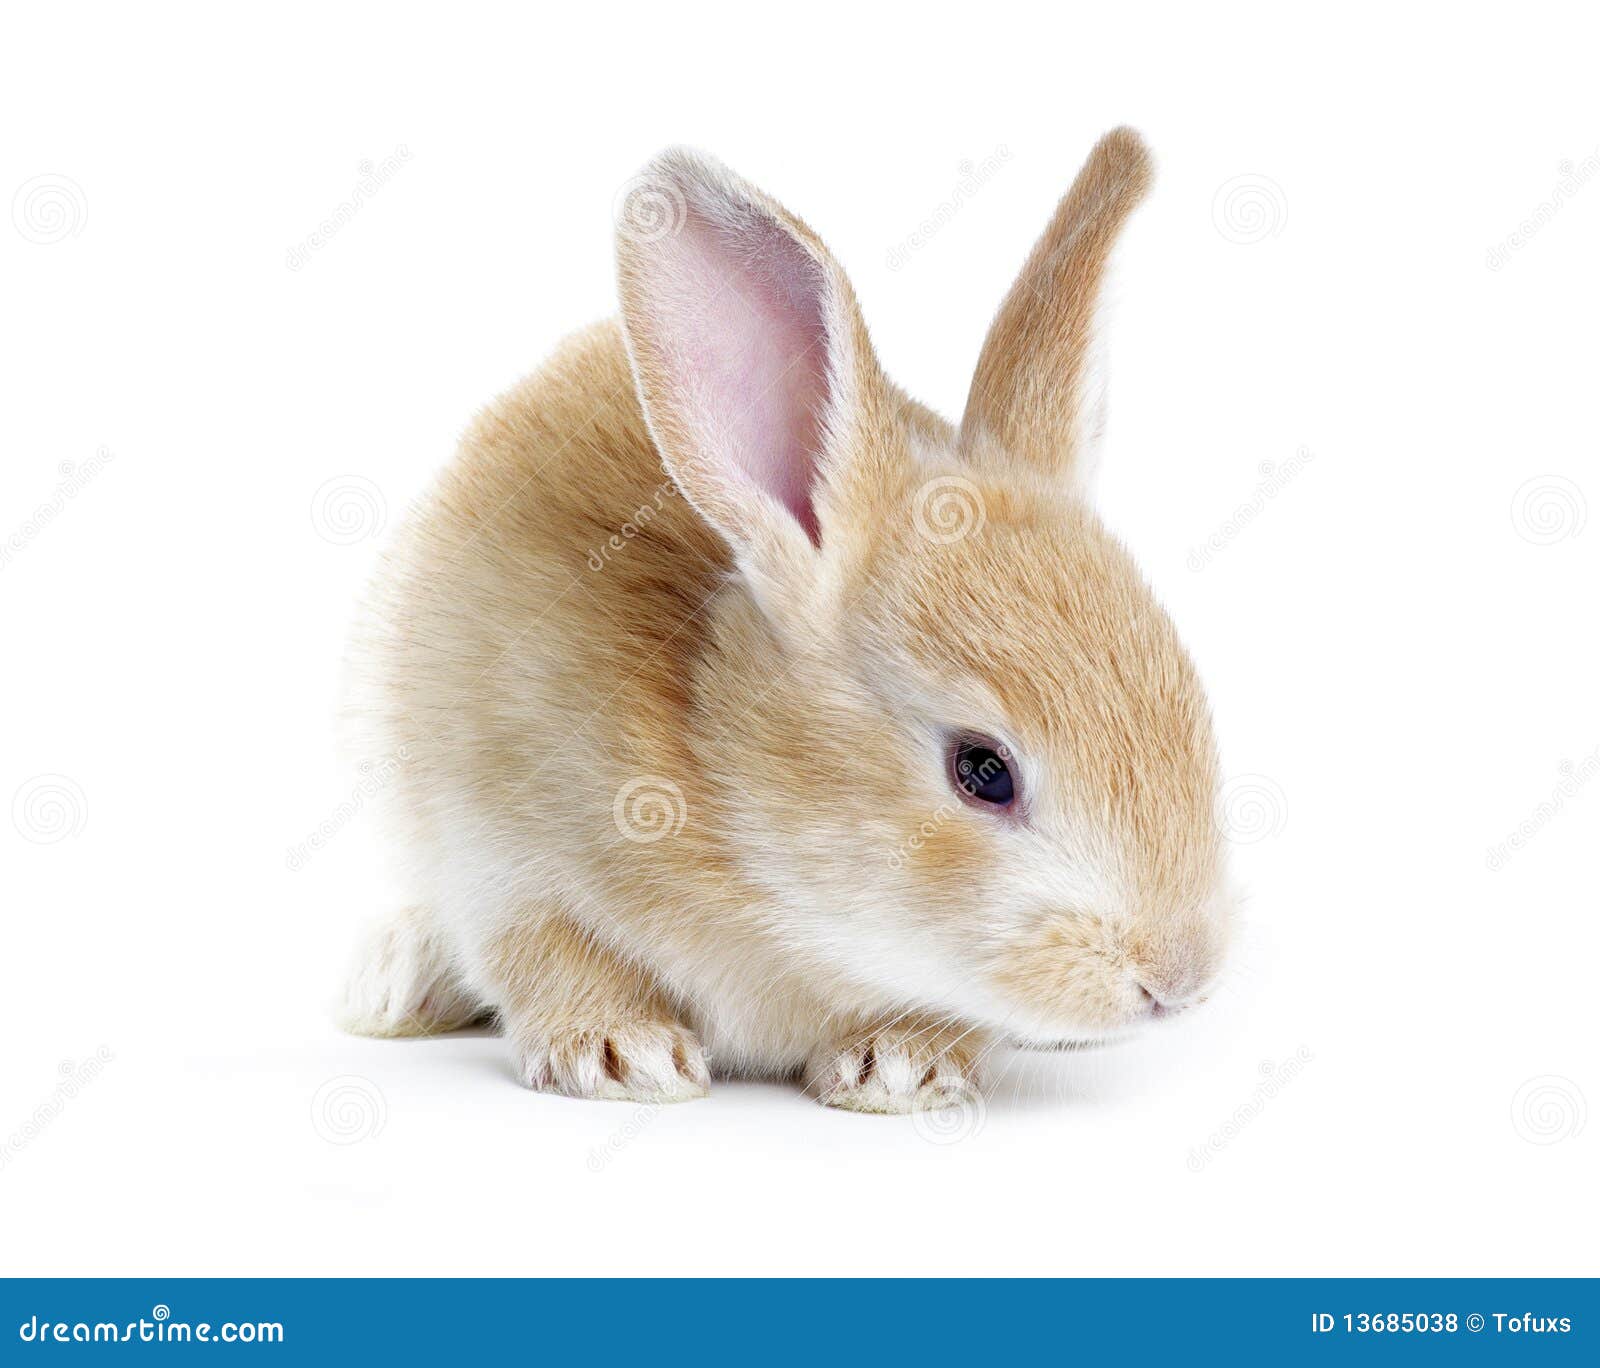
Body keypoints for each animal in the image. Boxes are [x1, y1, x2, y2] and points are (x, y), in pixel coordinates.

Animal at [337, 127, 1233, 1113]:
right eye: (983, 771)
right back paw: (391, 986)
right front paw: (621, 1056)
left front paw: (902, 1067)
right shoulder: (498, 848)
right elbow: (544, 954)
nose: (1180, 978)